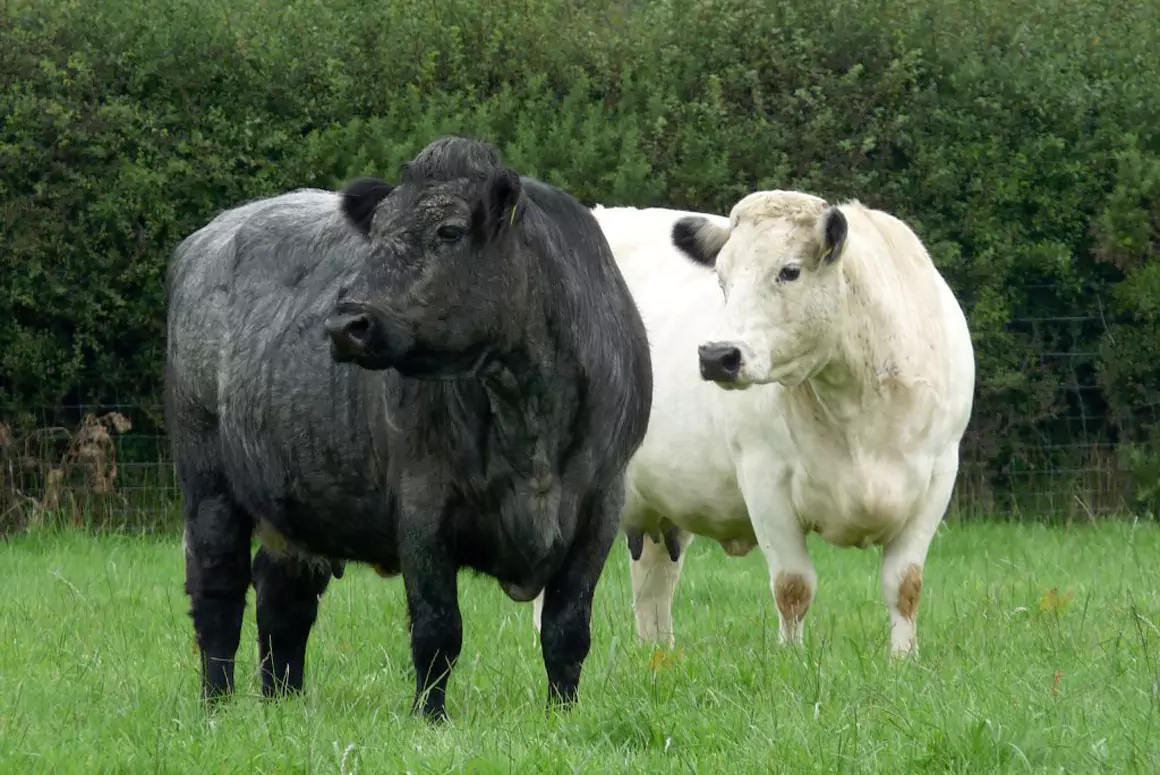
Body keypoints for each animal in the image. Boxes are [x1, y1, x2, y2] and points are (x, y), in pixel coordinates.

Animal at [164, 135, 653, 722]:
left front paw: (562, 715)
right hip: (207, 481)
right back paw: (216, 705)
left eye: (450, 231)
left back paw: (285, 702)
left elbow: (567, 632)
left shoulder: (601, 506)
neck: (526, 409)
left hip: (299, 500)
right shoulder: (423, 504)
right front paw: (431, 720)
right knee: (218, 591)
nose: (345, 324)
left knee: (283, 599)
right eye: (376, 232)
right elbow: (438, 630)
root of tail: (212, 233)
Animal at [532, 190, 974, 657]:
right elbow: (793, 587)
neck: (857, 404)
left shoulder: (938, 476)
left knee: (653, 585)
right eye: (721, 278)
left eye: (790, 271)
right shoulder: (764, 477)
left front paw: (903, 659)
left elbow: (905, 585)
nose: (716, 355)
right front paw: (793, 659)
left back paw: (660, 654)